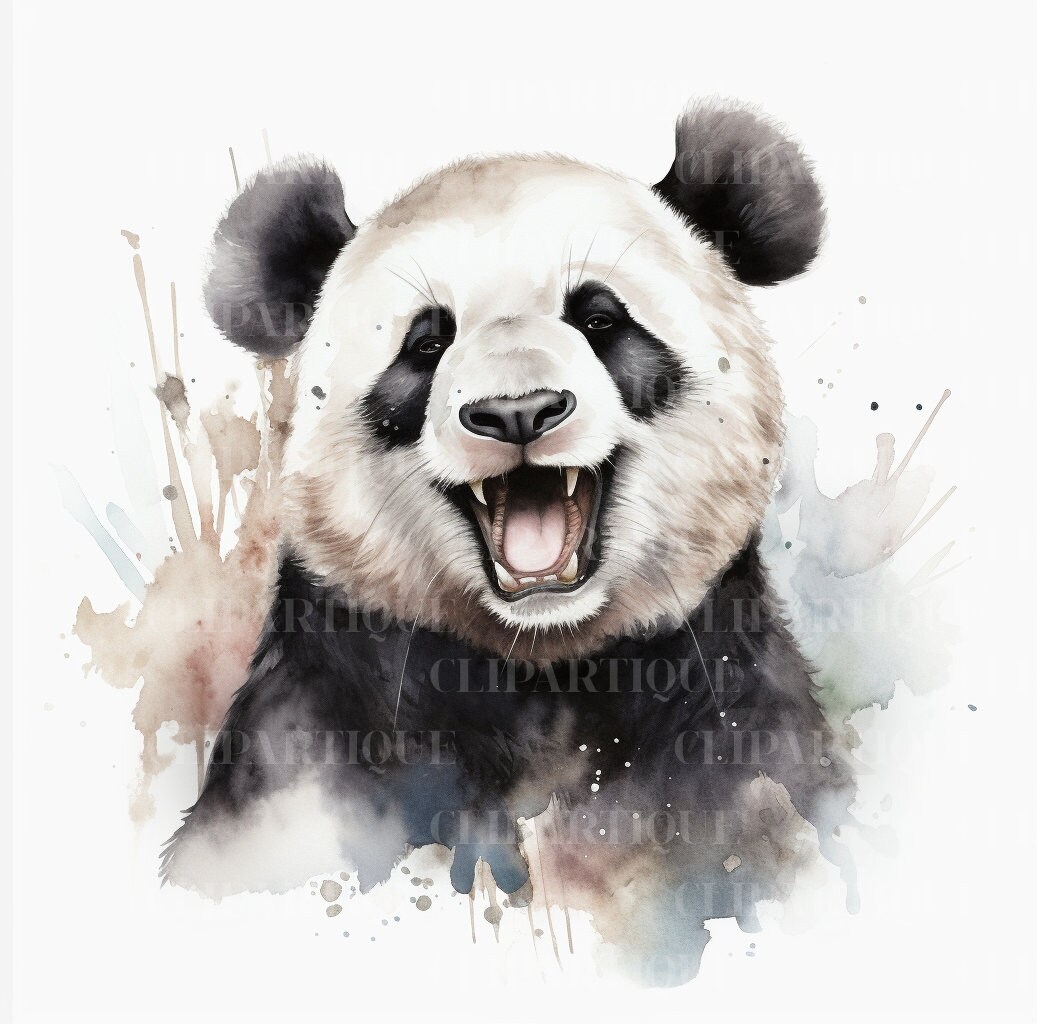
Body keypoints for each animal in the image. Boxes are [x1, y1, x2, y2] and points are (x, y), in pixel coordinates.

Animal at [163, 100, 856, 985]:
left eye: (600, 318)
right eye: (425, 343)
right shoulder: (324, 720)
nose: (518, 411)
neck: (541, 660)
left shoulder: (726, 704)